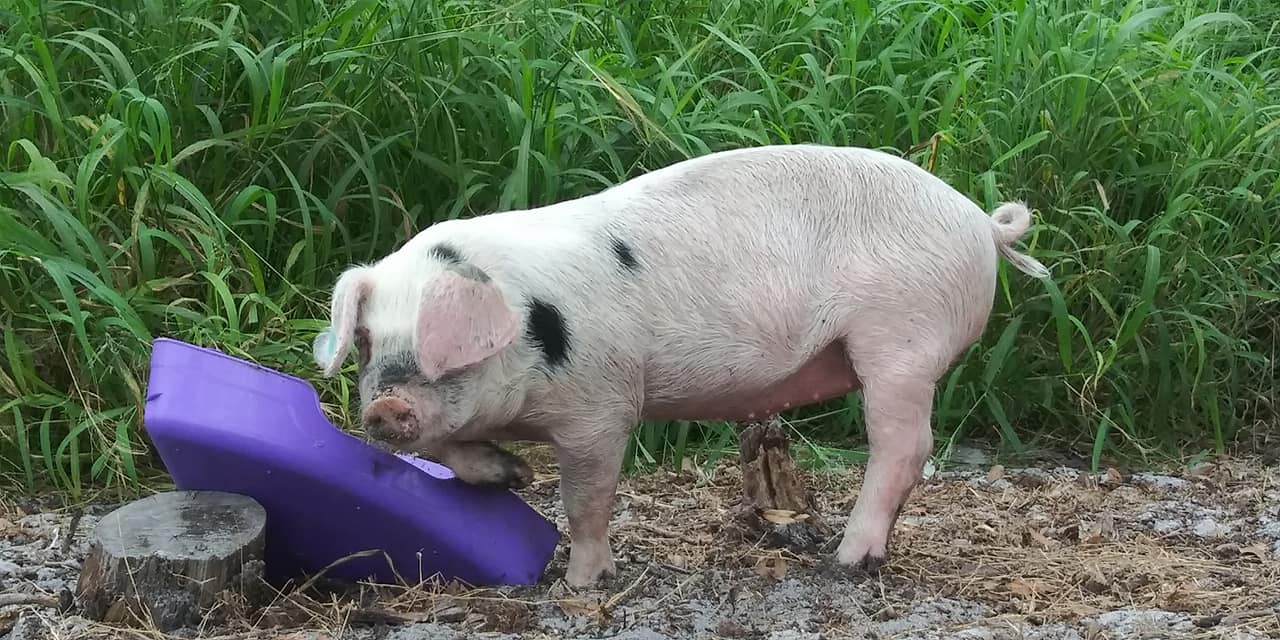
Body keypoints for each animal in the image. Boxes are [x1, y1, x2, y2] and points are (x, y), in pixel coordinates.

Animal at [311, 143, 1051, 587]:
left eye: (448, 345)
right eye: (368, 342)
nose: (385, 405)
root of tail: (981, 222)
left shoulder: (602, 406)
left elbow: (586, 497)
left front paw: (581, 582)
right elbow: (448, 446)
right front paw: (512, 475)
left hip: (901, 341)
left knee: (905, 446)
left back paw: (848, 560)